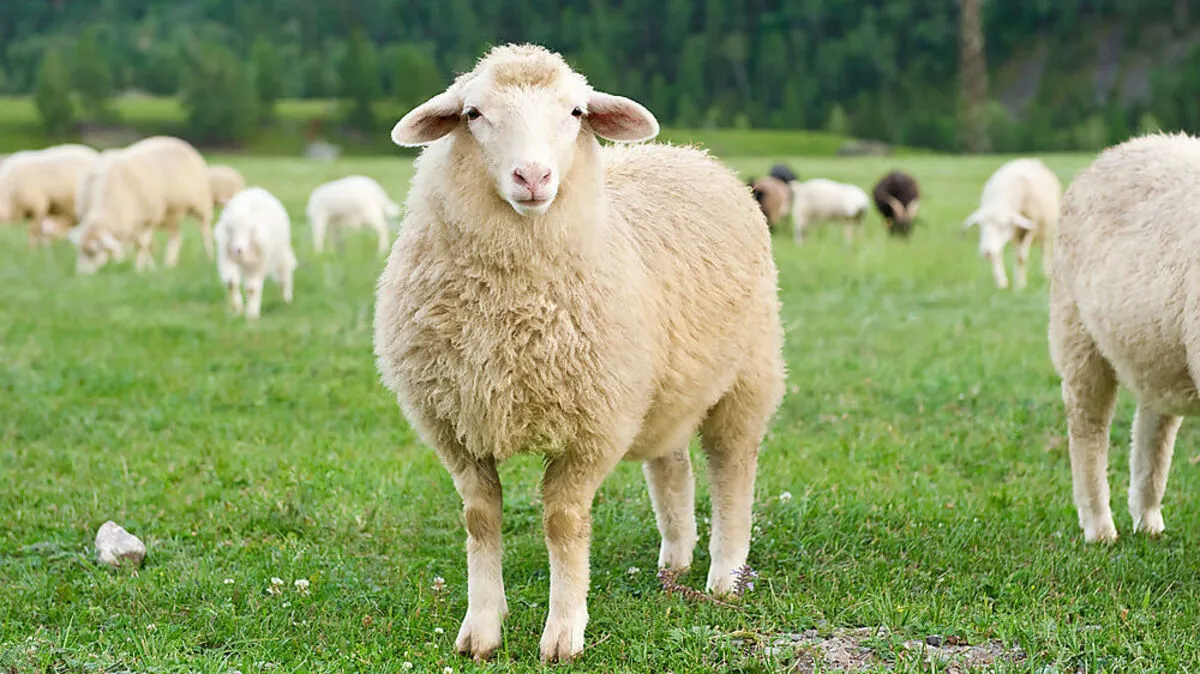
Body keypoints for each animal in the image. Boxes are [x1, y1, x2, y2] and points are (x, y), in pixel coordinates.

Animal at [69, 136, 214, 274]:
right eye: (78, 251)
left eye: (92, 252)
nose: (82, 276)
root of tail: (178, 141)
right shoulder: (131, 224)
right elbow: (142, 246)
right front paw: (150, 268)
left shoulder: (147, 220)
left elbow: (142, 246)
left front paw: (138, 270)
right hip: (169, 214)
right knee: (176, 236)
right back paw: (169, 264)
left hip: (201, 204)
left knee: (205, 231)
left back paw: (209, 257)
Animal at [214, 187, 297, 320]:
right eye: (230, 229)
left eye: (251, 230)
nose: (238, 250)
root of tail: (256, 189)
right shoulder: (227, 256)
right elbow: (231, 283)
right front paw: (237, 309)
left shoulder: (259, 263)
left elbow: (252, 289)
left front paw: (252, 315)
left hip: (280, 255)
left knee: (285, 273)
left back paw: (286, 298)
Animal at [375, 43, 785, 664]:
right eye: (473, 113)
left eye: (575, 112)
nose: (533, 176)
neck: (511, 305)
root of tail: (692, 154)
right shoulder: (456, 425)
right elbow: (480, 519)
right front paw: (482, 630)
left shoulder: (593, 423)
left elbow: (565, 524)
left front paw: (564, 633)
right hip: (662, 385)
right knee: (672, 465)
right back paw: (674, 560)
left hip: (747, 375)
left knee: (732, 468)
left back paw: (724, 576)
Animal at [963, 158, 1061, 290]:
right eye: (981, 226)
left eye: (1003, 225)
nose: (986, 252)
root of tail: (1028, 159)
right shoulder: (1012, 232)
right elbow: (1001, 255)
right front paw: (1003, 283)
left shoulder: (1032, 227)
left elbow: (1021, 258)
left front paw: (1021, 286)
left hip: (1046, 230)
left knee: (1045, 250)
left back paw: (1047, 275)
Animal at [1049, 132, 1200, 544]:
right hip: (1076, 331)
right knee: (1088, 429)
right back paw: (1099, 528)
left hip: (1157, 348)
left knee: (1151, 431)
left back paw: (1147, 520)